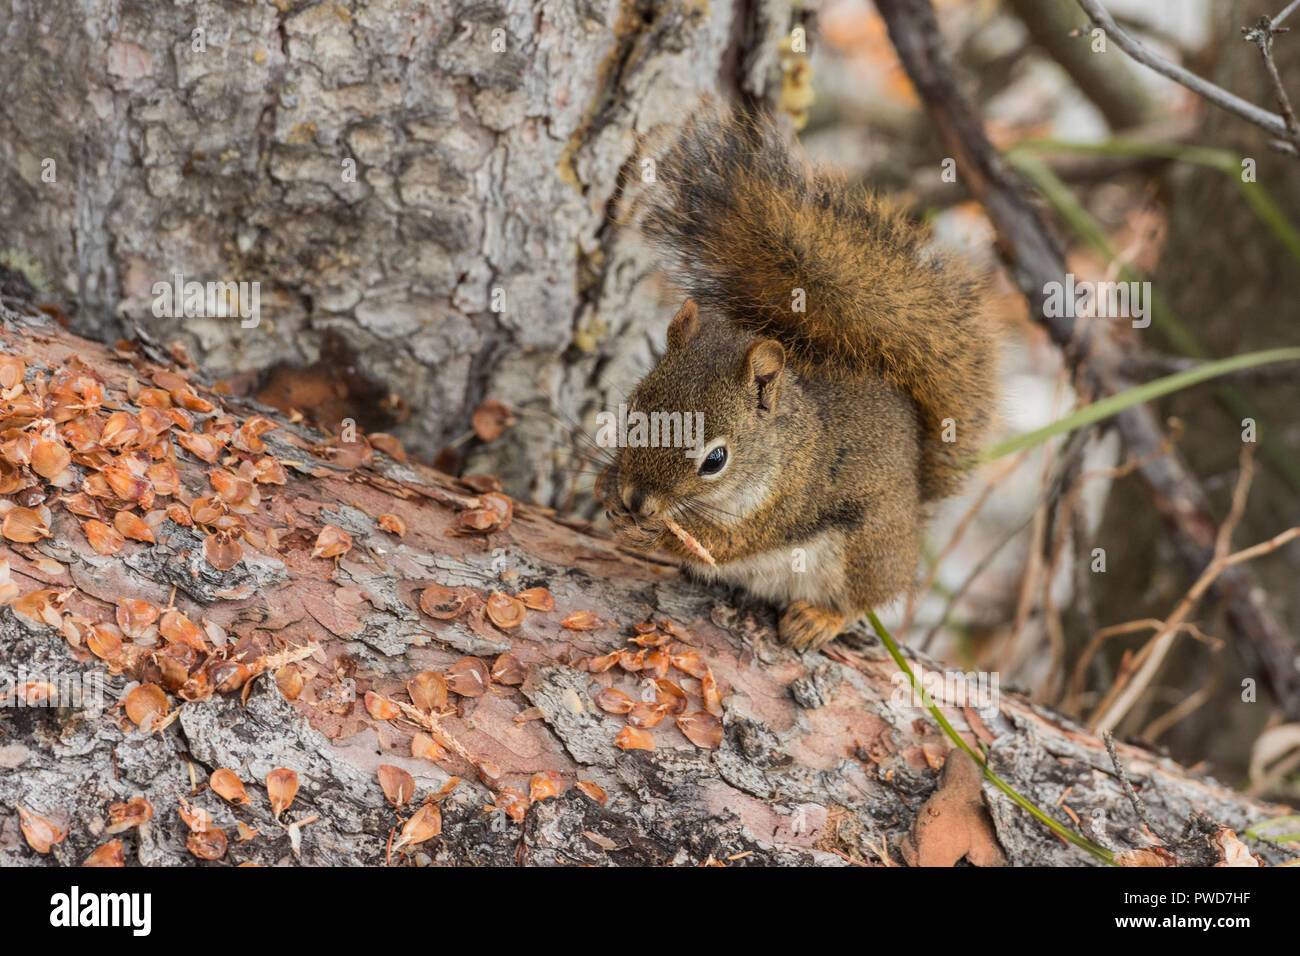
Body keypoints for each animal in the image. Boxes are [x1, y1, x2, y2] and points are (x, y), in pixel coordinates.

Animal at [597, 108, 997, 651]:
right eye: (633, 414)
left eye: (715, 460)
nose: (637, 501)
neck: (780, 443)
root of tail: (916, 500)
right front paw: (606, 489)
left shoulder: (787, 499)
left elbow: (726, 542)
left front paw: (654, 532)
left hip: (868, 548)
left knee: (865, 598)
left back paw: (819, 619)